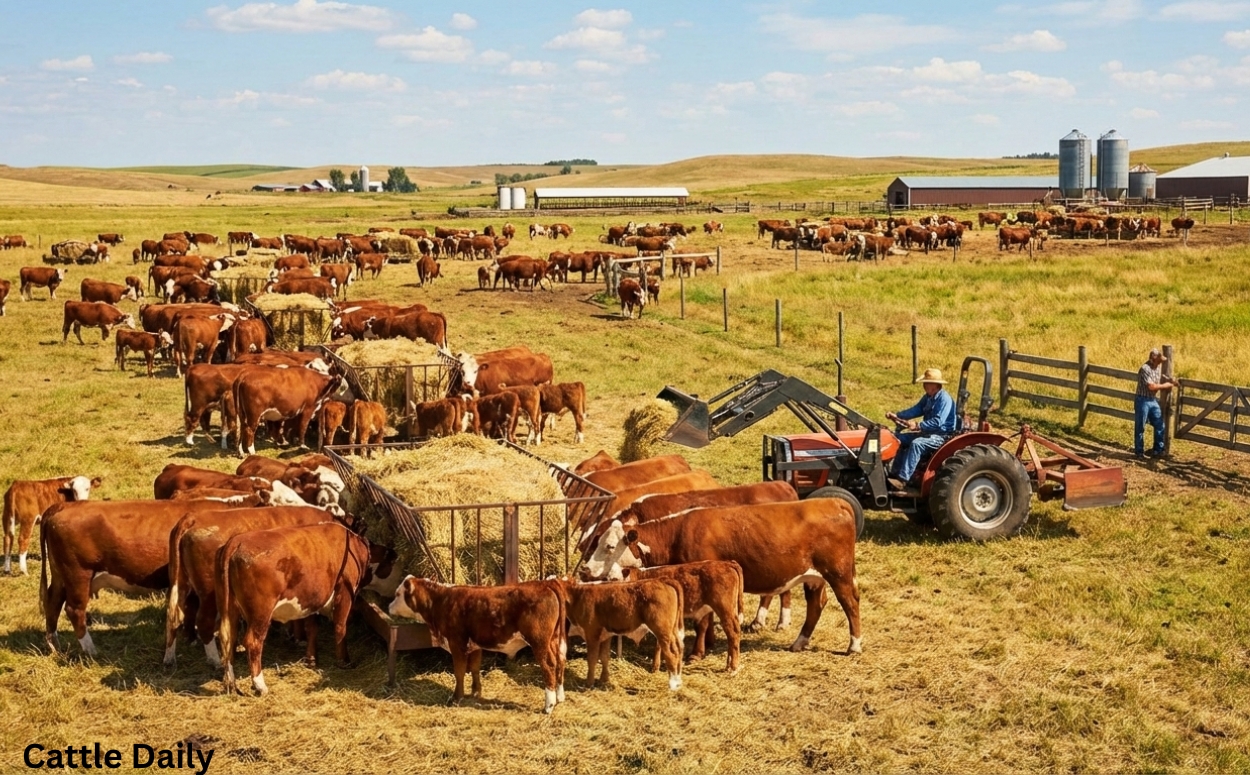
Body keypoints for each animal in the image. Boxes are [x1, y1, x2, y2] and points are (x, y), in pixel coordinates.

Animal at [218, 523, 399, 695]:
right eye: (392, 563)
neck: (355, 550)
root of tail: (237, 541)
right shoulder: (344, 594)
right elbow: (340, 627)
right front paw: (344, 661)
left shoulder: (312, 598)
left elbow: (312, 628)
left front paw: (311, 659)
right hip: (260, 614)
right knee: (253, 642)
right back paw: (260, 686)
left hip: (230, 609)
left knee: (228, 641)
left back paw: (231, 684)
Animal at [389, 577, 567, 712]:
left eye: (397, 594)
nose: (389, 606)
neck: (441, 601)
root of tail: (546, 583)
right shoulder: (475, 646)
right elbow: (474, 668)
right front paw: (475, 692)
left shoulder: (457, 644)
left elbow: (459, 672)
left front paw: (456, 698)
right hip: (554, 640)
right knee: (560, 662)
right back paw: (559, 698)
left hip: (539, 642)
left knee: (549, 666)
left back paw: (549, 705)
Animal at [580, 499, 862, 655]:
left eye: (608, 546)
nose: (586, 569)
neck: (678, 533)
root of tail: (834, 502)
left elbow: (702, 621)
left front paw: (697, 653)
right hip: (815, 578)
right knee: (816, 605)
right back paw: (799, 642)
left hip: (839, 574)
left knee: (851, 603)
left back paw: (854, 646)